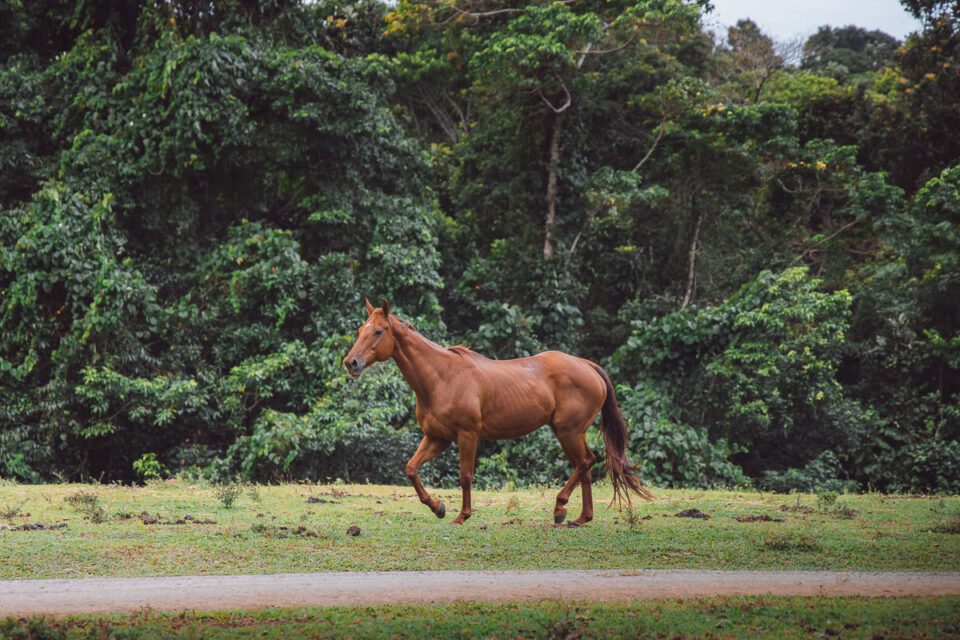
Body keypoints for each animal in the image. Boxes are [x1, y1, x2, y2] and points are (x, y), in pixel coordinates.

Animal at [342, 298, 654, 525]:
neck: (442, 377)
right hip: (568, 432)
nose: (351, 363)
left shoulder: (467, 435)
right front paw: (437, 507)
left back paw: (560, 508)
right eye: (360, 331)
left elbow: (465, 476)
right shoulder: (438, 438)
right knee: (585, 465)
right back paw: (580, 517)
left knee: (585, 462)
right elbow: (411, 469)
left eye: (378, 331)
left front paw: (462, 516)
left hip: (569, 431)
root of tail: (587, 365)